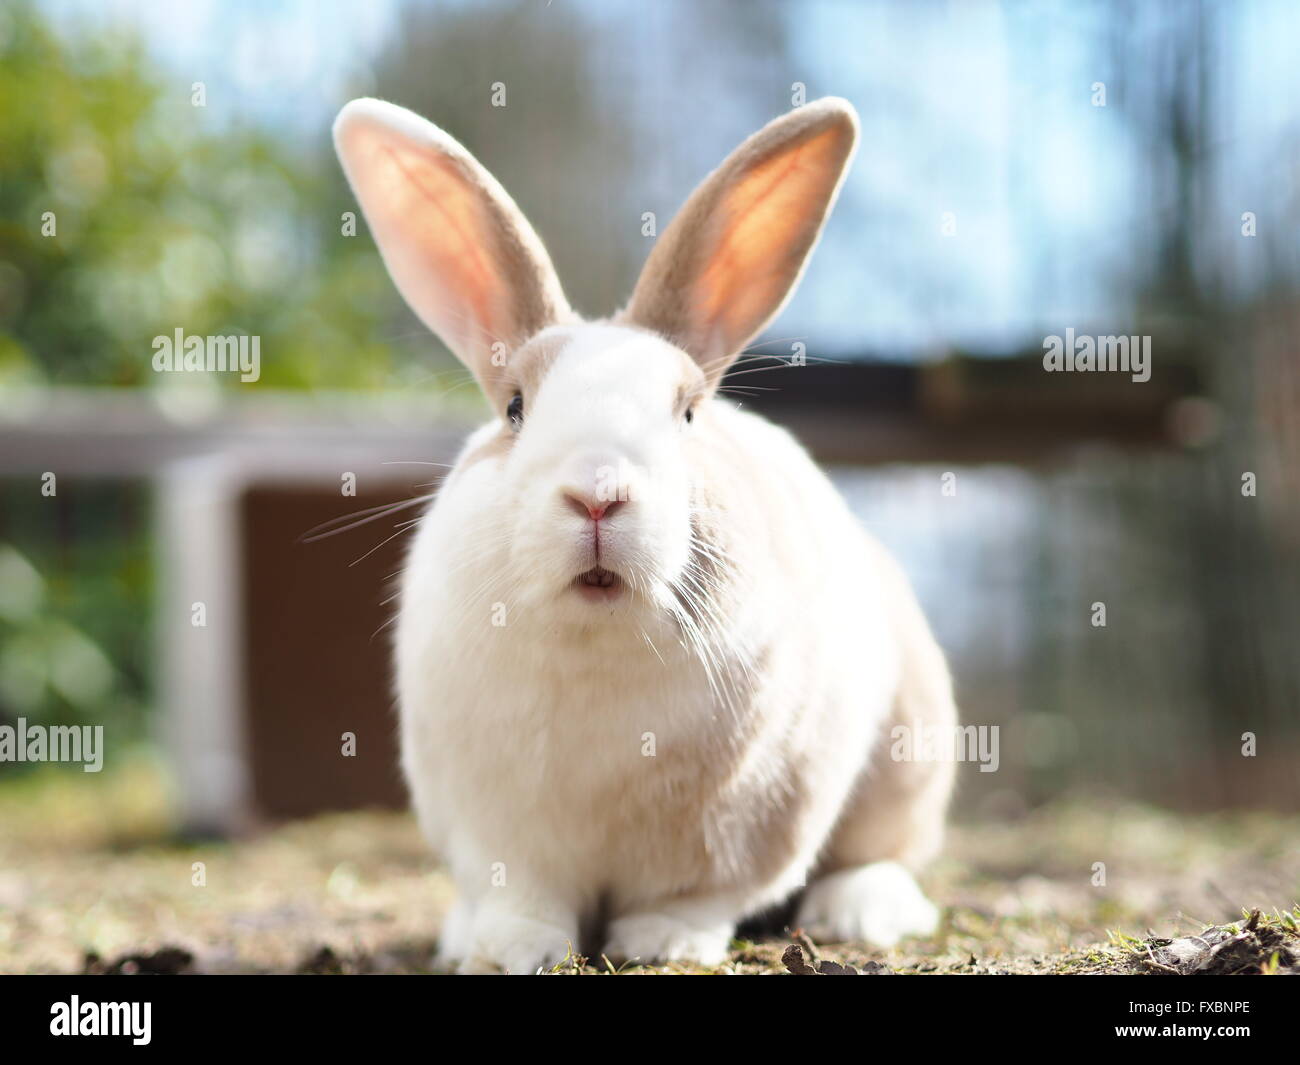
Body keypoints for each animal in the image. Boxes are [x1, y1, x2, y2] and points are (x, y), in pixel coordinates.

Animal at [333, 95, 957, 974]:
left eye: (688, 412)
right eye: (515, 407)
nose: (598, 495)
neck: (595, 644)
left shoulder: (745, 822)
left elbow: (693, 895)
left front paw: (663, 941)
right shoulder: (499, 836)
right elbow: (524, 899)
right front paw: (512, 949)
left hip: (912, 747)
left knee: (886, 850)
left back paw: (859, 910)